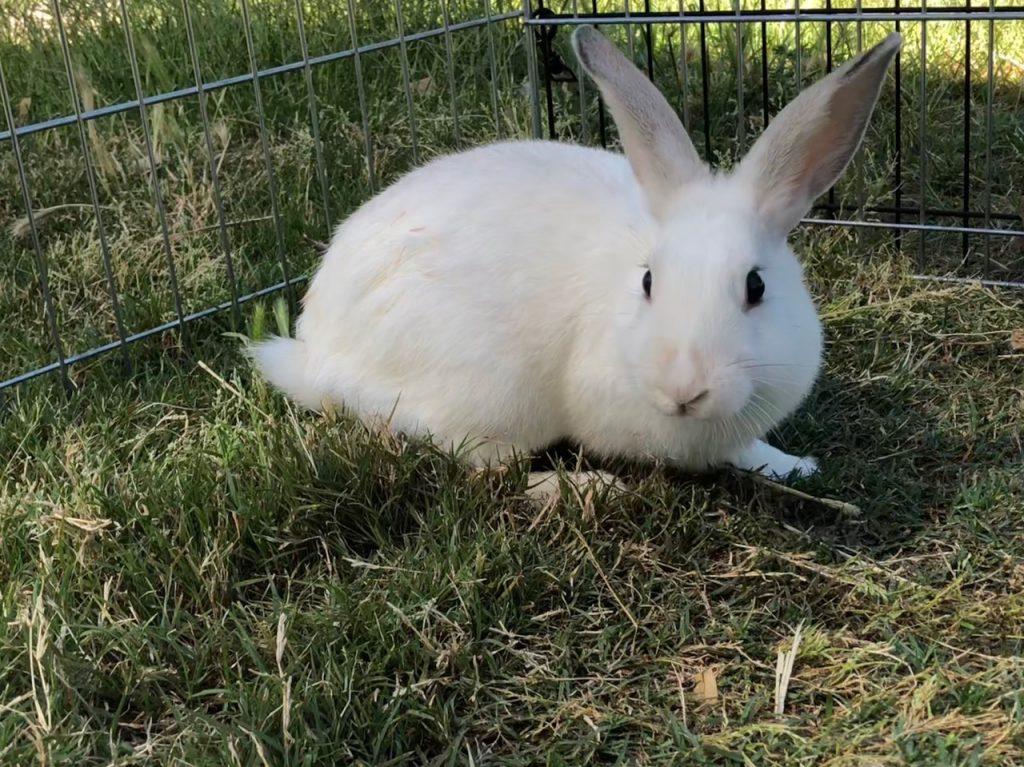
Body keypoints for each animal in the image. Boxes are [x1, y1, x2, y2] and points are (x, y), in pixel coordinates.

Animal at [252, 26, 901, 493]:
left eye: (756, 287)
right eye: (648, 281)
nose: (683, 387)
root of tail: (318, 353)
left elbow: (750, 449)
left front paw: (794, 466)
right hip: (487, 398)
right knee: (487, 468)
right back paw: (587, 488)